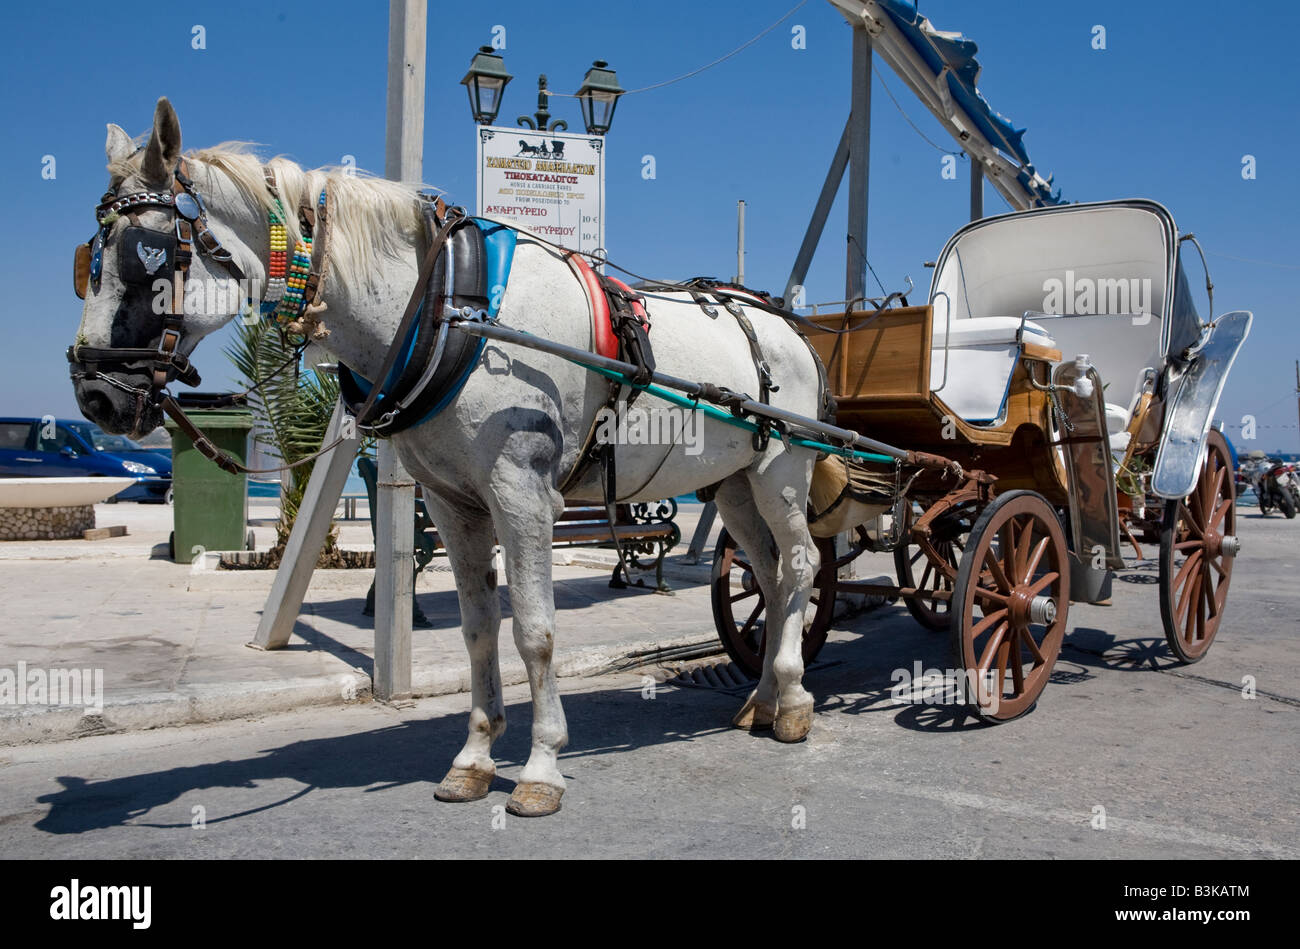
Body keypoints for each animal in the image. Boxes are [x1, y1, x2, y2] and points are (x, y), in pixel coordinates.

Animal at [71, 98, 827, 817]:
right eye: (89, 262)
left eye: (145, 253)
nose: (93, 394)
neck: (449, 308)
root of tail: (789, 327)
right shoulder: (452, 501)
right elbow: (478, 629)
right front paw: (474, 758)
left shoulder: (523, 496)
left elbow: (535, 631)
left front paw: (541, 767)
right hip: (731, 482)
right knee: (763, 574)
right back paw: (761, 698)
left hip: (782, 470)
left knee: (800, 564)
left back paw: (792, 701)